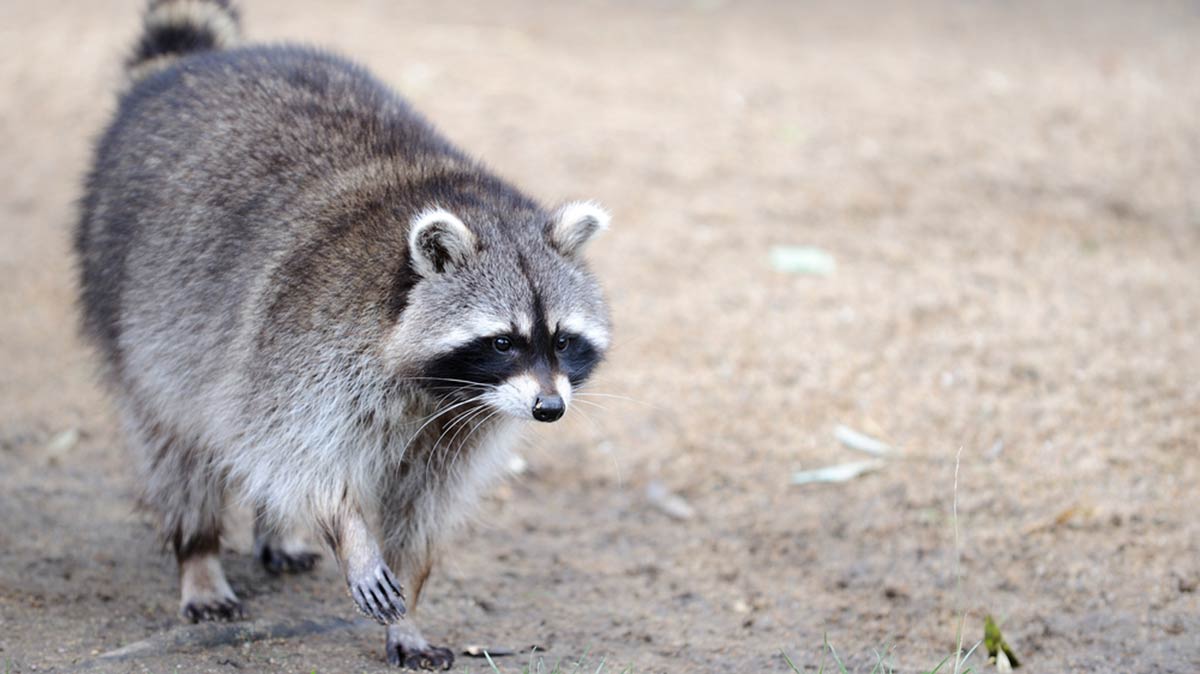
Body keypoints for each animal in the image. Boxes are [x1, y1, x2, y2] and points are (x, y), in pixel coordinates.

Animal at [75, 0, 611, 668]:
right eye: (503, 341)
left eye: (562, 340)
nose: (549, 409)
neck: (440, 389)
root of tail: (191, 68)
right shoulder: (307, 343)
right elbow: (303, 456)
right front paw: (351, 535)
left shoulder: (461, 426)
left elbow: (423, 508)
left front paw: (408, 609)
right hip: (134, 300)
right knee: (180, 441)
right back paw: (197, 553)